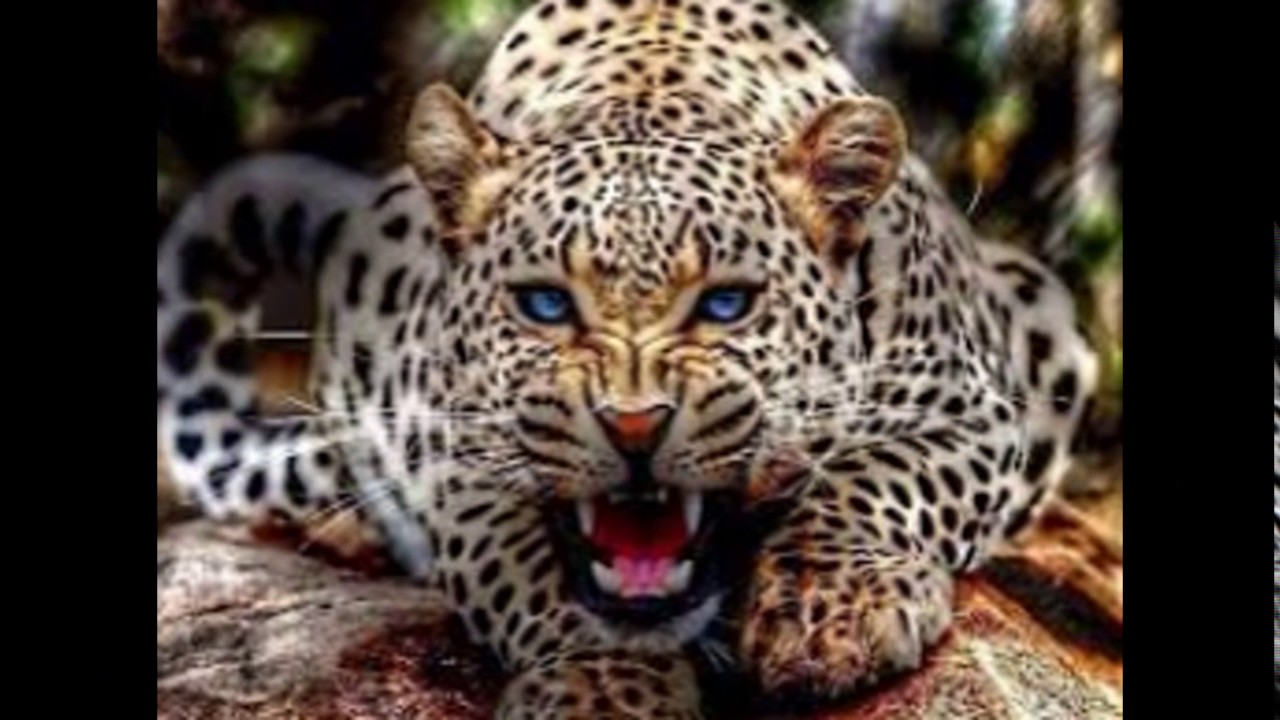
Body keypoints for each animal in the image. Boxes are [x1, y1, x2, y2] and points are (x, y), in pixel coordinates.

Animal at [157, 0, 1098, 716]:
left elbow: (875, 479)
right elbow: (531, 572)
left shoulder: (970, 403)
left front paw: (833, 616)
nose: (635, 426)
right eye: (545, 304)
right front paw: (602, 686)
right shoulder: (454, 456)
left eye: (726, 304)